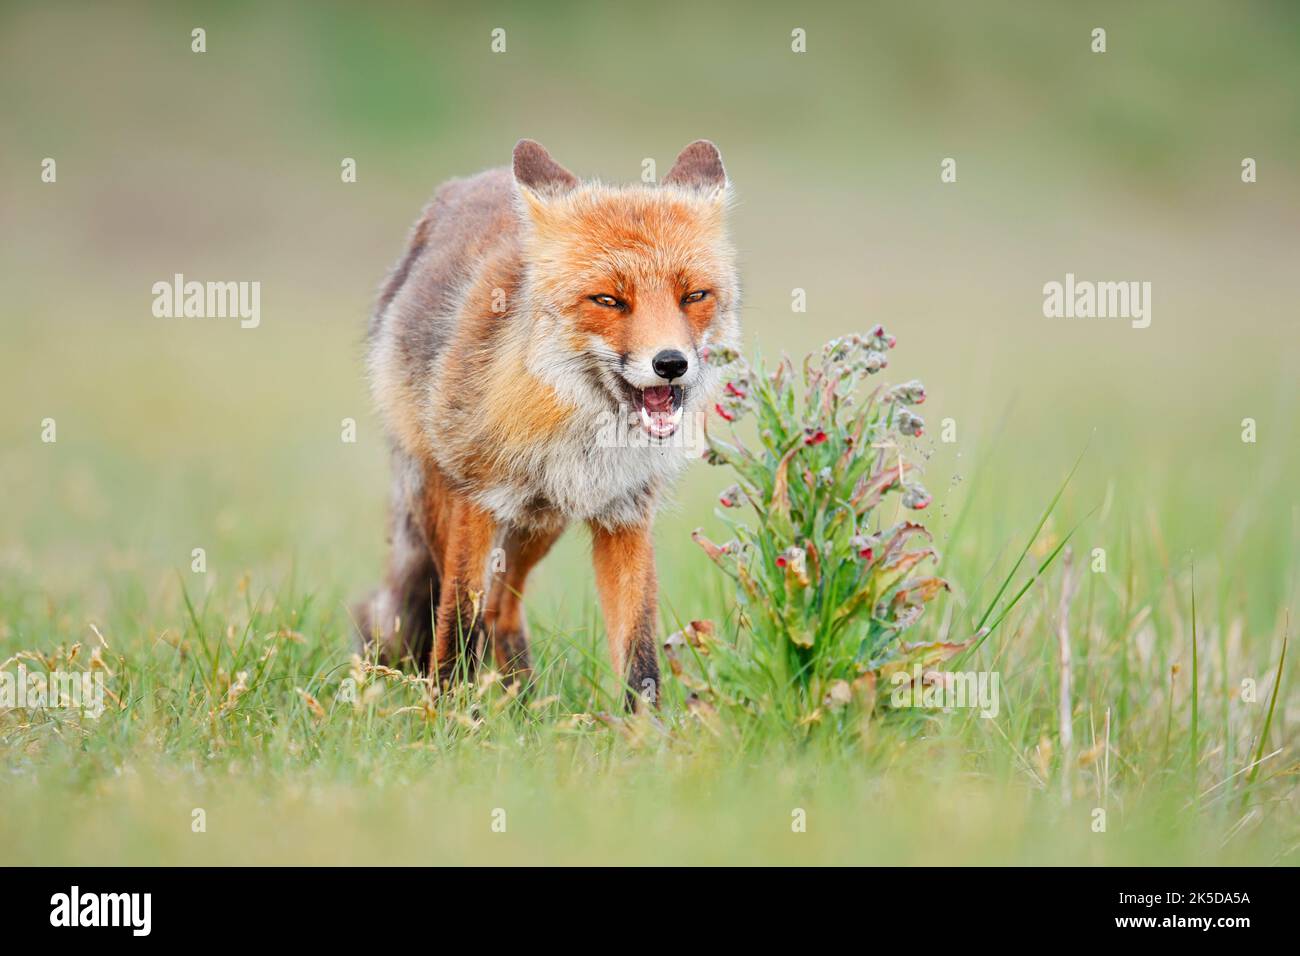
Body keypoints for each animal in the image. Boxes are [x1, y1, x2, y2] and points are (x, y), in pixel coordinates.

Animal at [356, 139, 740, 708]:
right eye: (608, 300)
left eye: (693, 296)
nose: (671, 363)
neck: (581, 432)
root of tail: (476, 179)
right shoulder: (474, 501)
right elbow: (457, 619)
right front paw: (448, 713)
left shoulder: (625, 513)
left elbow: (639, 649)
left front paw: (644, 728)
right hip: (439, 502)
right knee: (457, 605)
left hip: (539, 525)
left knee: (502, 610)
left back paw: (525, 704)